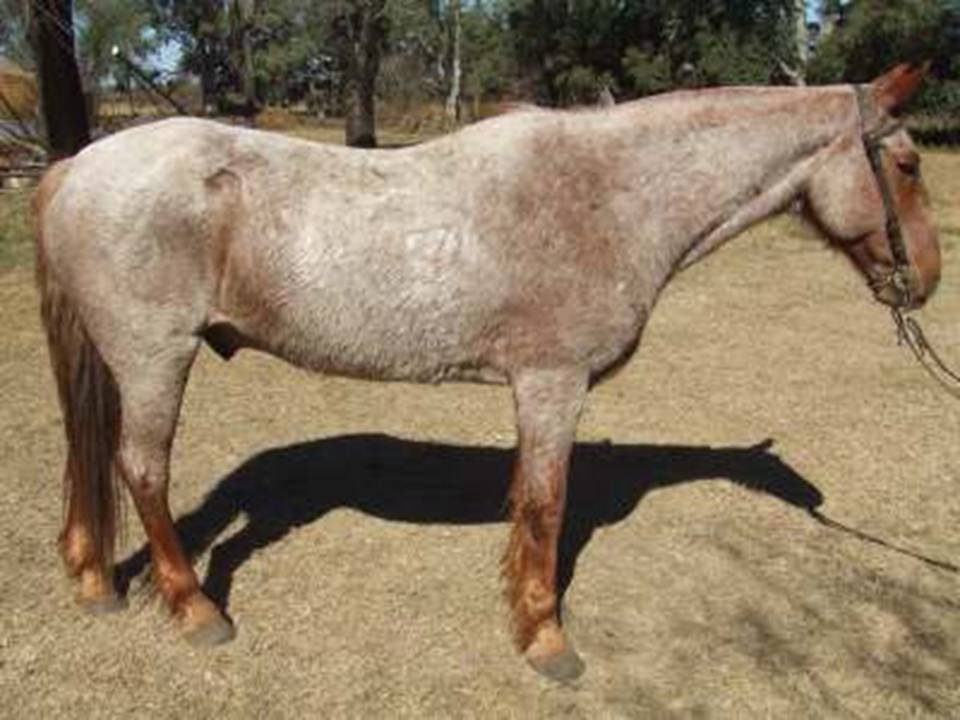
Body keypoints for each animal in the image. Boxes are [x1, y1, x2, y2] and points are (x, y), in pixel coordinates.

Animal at [34, 63, 940, 682]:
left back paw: (93, 580)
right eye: (908, 165)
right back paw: (195, 610)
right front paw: (545, 638)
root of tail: (78, 166)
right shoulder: (551, 383)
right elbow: (544, 505)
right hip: (155, 356)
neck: (612, 192)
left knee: (90, 458)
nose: (927, 279)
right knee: (142, 471)